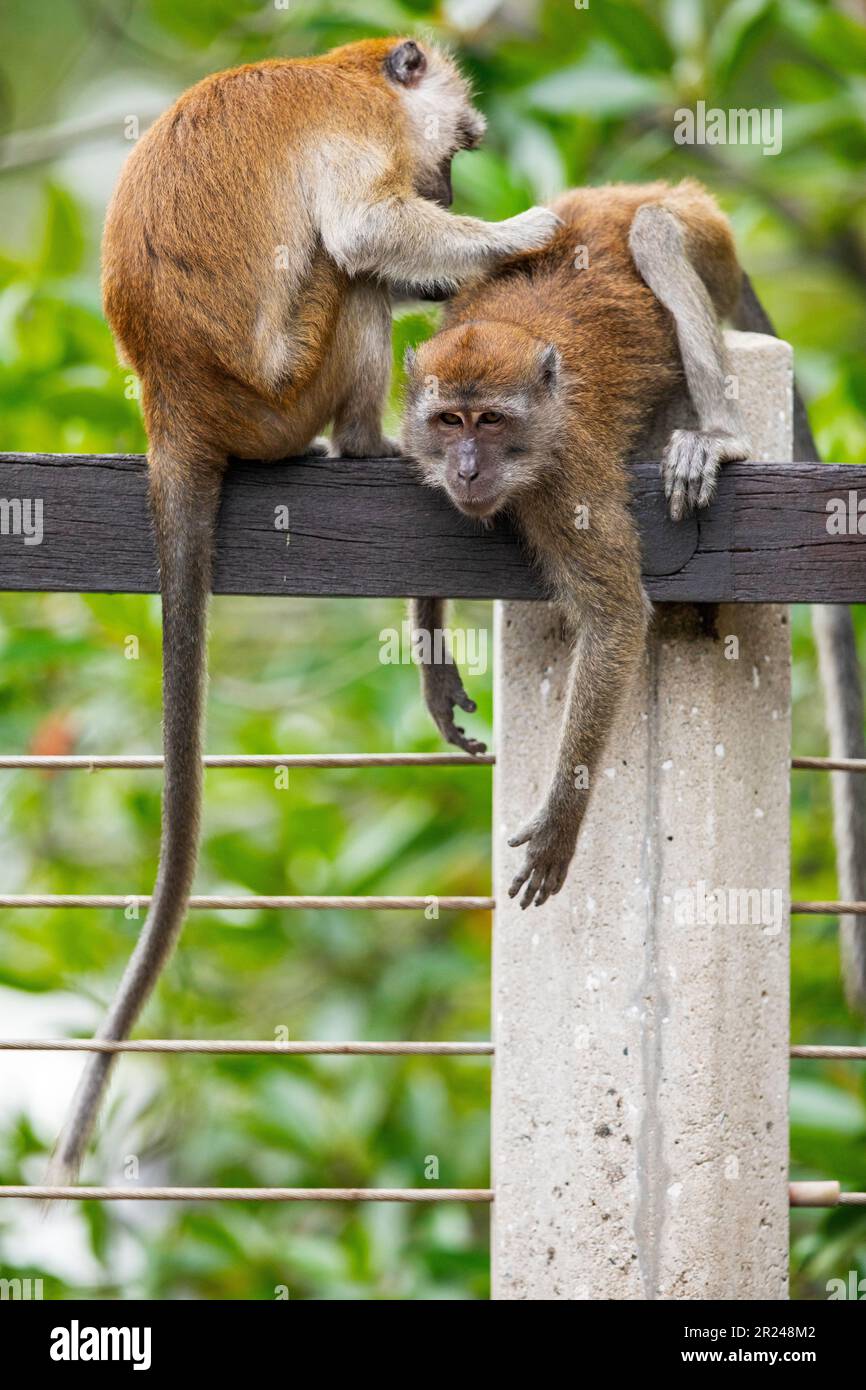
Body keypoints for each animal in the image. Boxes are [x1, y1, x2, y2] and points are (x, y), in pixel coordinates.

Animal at [46, 37, 563, 1186]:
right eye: (458, 150)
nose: (448, 191)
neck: (344, 66)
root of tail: (175, 406)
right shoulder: (362, 125)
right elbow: (365, 233)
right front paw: (517, 233)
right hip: (284, 392)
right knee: (350, 274)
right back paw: (368, 445)